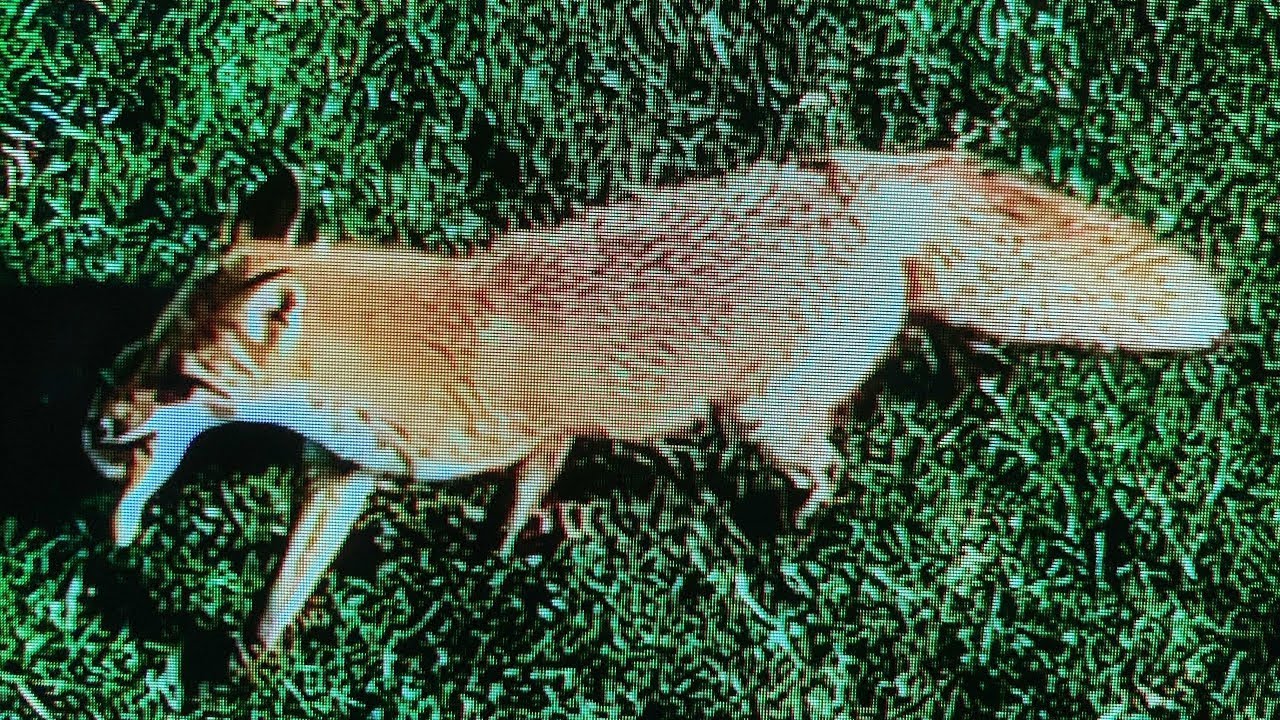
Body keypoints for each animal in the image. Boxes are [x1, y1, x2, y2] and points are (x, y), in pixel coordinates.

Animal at [83, 150, 1227, 648]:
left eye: (183, 382)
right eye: (146, 348)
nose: (101, 428)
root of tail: (859, 172)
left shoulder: (537, 434)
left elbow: (513, 507)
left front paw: (499, 567)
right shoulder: (343, 473)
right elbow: (284, 587)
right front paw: (249, 665)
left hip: (759, 420)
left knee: (826, 468)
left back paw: (788, 539)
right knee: (952, 336)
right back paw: (968, 380)